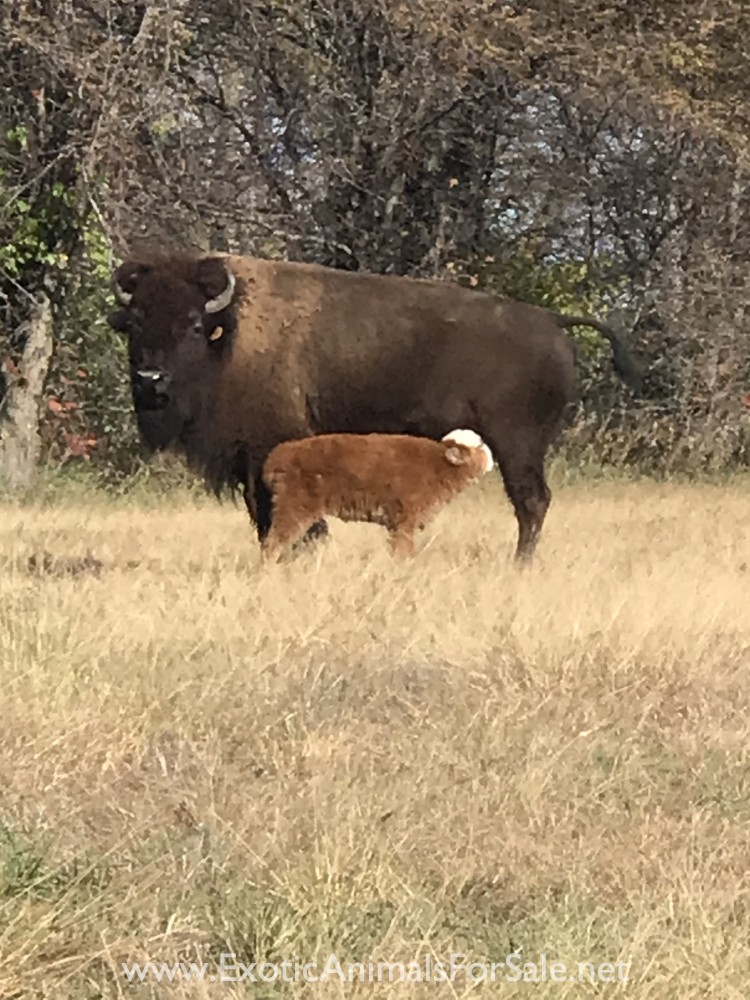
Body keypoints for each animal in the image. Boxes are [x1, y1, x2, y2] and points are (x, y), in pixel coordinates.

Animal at [107, 252, 641, 562]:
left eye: (194, 324)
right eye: (135, 322)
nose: (150, 379)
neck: (231, 335)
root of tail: (551, 321)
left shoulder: (268, 451)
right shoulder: (247, 462)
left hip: (517, 446)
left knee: (532, 502)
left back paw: (520, 566)